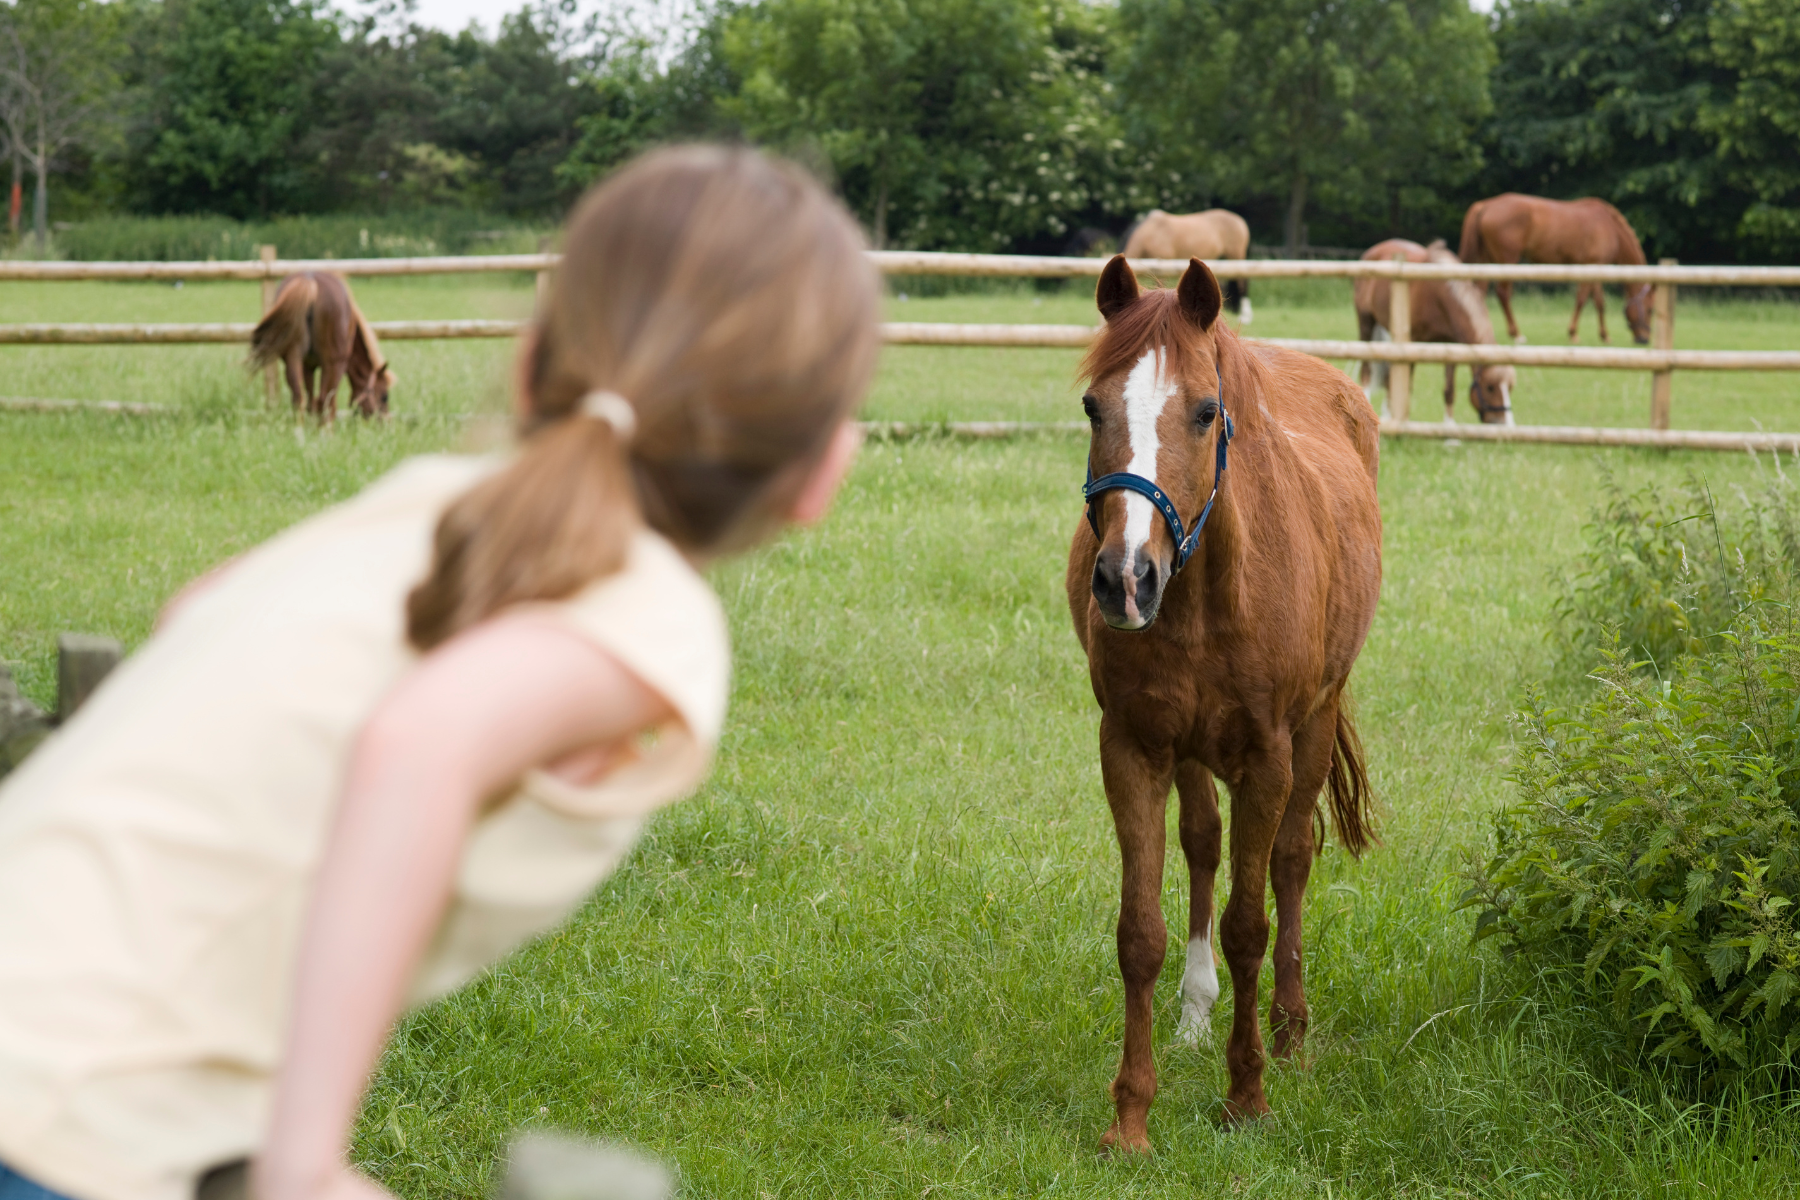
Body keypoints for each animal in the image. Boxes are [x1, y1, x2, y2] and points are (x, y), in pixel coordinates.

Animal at [248, 272, 396, 421]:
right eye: (385, 397)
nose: (386, 421)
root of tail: (309, 281)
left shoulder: (307, 366)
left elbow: (310, 402)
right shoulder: (338, 364)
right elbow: (328, 403)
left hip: (293, 357)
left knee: (299, 398)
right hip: (333, 363)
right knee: (324, 400)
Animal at [1068, 254, 1382, 1147]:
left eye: (1207, 412)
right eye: (1093, 406)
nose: (1125, 579)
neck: (1210, 597)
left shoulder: (1267, 757)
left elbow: (1251, 923)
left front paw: (1248, 1095)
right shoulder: (1134, 747)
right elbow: (1140, 932)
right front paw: (1131, 1117)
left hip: (1314, 724)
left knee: (1290, 862)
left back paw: (1291, 1032)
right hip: (1189, 750)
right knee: (1204, 845)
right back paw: (1197, 1012)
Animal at [1123, 209, 1254, 324]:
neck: (1149, 233)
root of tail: (1239, 219)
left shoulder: (1162, 264)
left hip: (1236, 255)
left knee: (1243, 280)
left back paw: (1246, 316)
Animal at [1354, 239, 1516, 425]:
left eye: (1510, 387)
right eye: (1490, 387)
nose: (1505, 424)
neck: (1438, 295)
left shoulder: (1451, 345)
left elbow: (1449, 390)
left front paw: (1449, 428)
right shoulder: (1411, 342)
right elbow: (1406, 388)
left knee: (1389, 378)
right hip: (1366, 323)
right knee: (1367, 370)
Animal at [1459, 193, 1651, 346]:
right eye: (1650, 310)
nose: (1644, 339)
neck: (1610, 227)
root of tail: (1485, 205)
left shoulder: (1595, 267)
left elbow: (1599, 302)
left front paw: (1604, 336)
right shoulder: (1593, 264)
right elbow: (1582, 299)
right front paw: (1573, 334)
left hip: (1486, 261)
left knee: (1479, 292)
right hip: (1507, 261)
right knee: (1503, 293)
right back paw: (1517, 334)